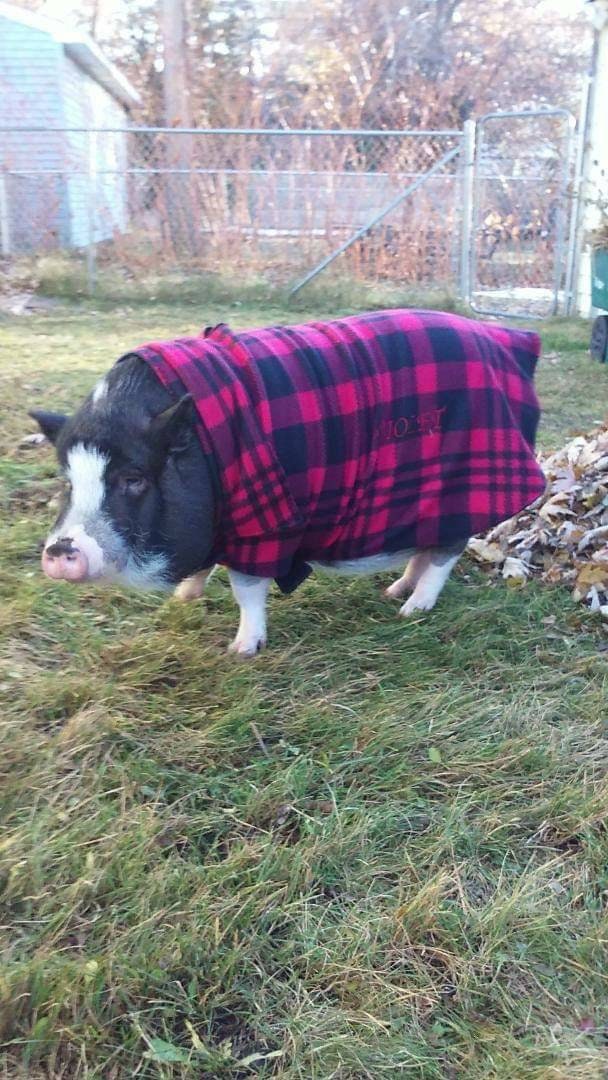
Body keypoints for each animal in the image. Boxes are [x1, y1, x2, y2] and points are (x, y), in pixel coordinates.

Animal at [30, 309, 546, 656]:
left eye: (133, 478)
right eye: (68, 480)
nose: (59, 551)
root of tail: (511, 341)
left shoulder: (262, 525)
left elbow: (246, 589)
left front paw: (241, 651)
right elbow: (204, 569)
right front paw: (180, 602)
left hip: (460, 487)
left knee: (447, 552)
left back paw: (409, 610)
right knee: (427, 547)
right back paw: (392, 592)